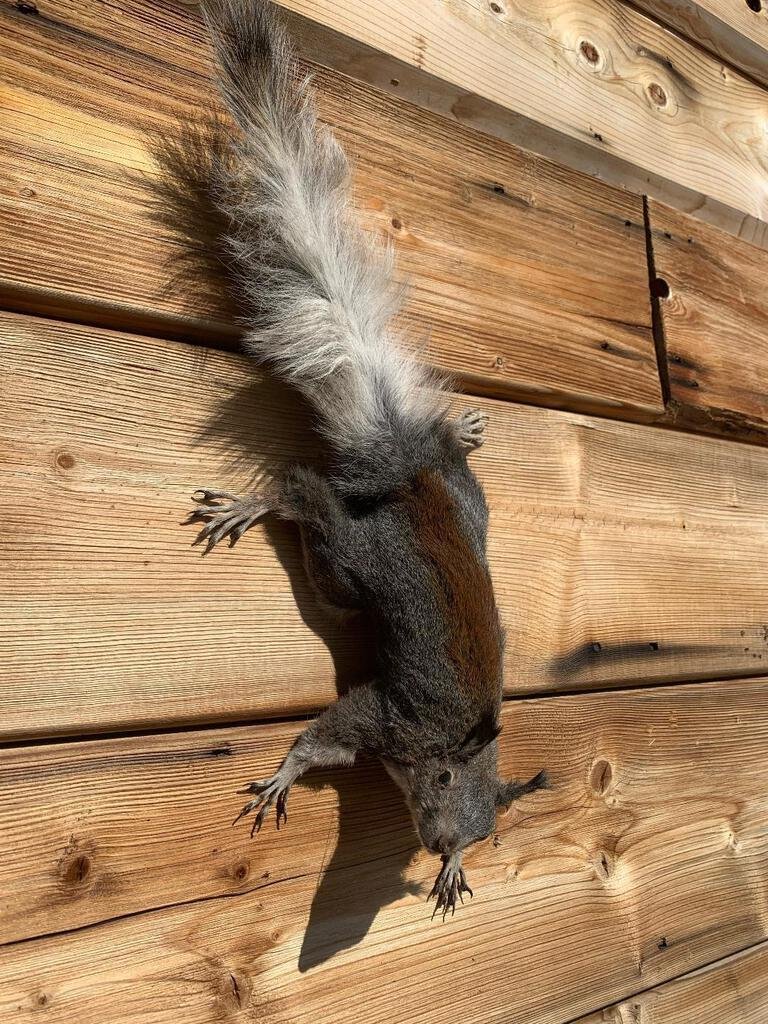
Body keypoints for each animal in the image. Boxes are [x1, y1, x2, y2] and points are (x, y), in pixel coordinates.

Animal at [190, 0, 549, 918]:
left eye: (487, 828)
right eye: (443, 784)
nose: (440, 845)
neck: (450, 746)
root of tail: (412, 476)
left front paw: (453, 874)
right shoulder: (387, 719)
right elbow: (328, 734)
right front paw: (286, 773)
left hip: (469, 506)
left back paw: (461, 430)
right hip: (352, 568)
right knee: (305, 498)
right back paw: (256, 503)